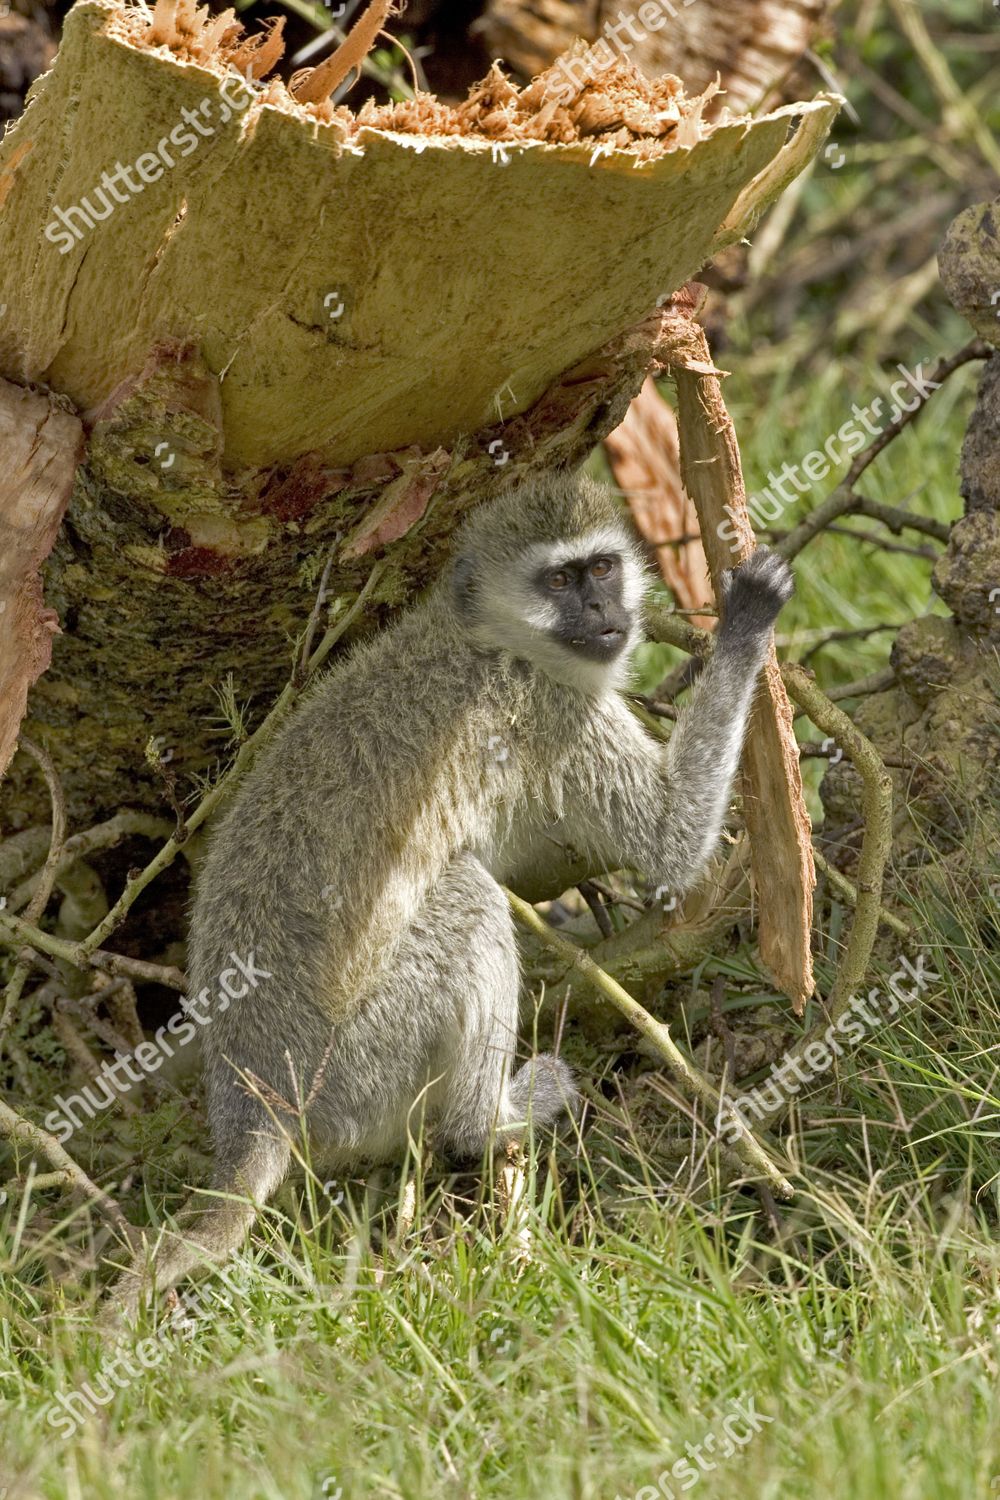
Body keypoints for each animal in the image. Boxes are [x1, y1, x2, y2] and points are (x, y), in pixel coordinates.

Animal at [104, 469, 793, 1319]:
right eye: (559, 582)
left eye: (602, 568)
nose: (605, 614)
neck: (489, 637)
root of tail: (253, 1108)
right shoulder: (559, 712)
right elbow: (672, 840)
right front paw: (745, 622)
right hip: (359, 1066)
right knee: (467, 897)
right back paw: (488, 1121)